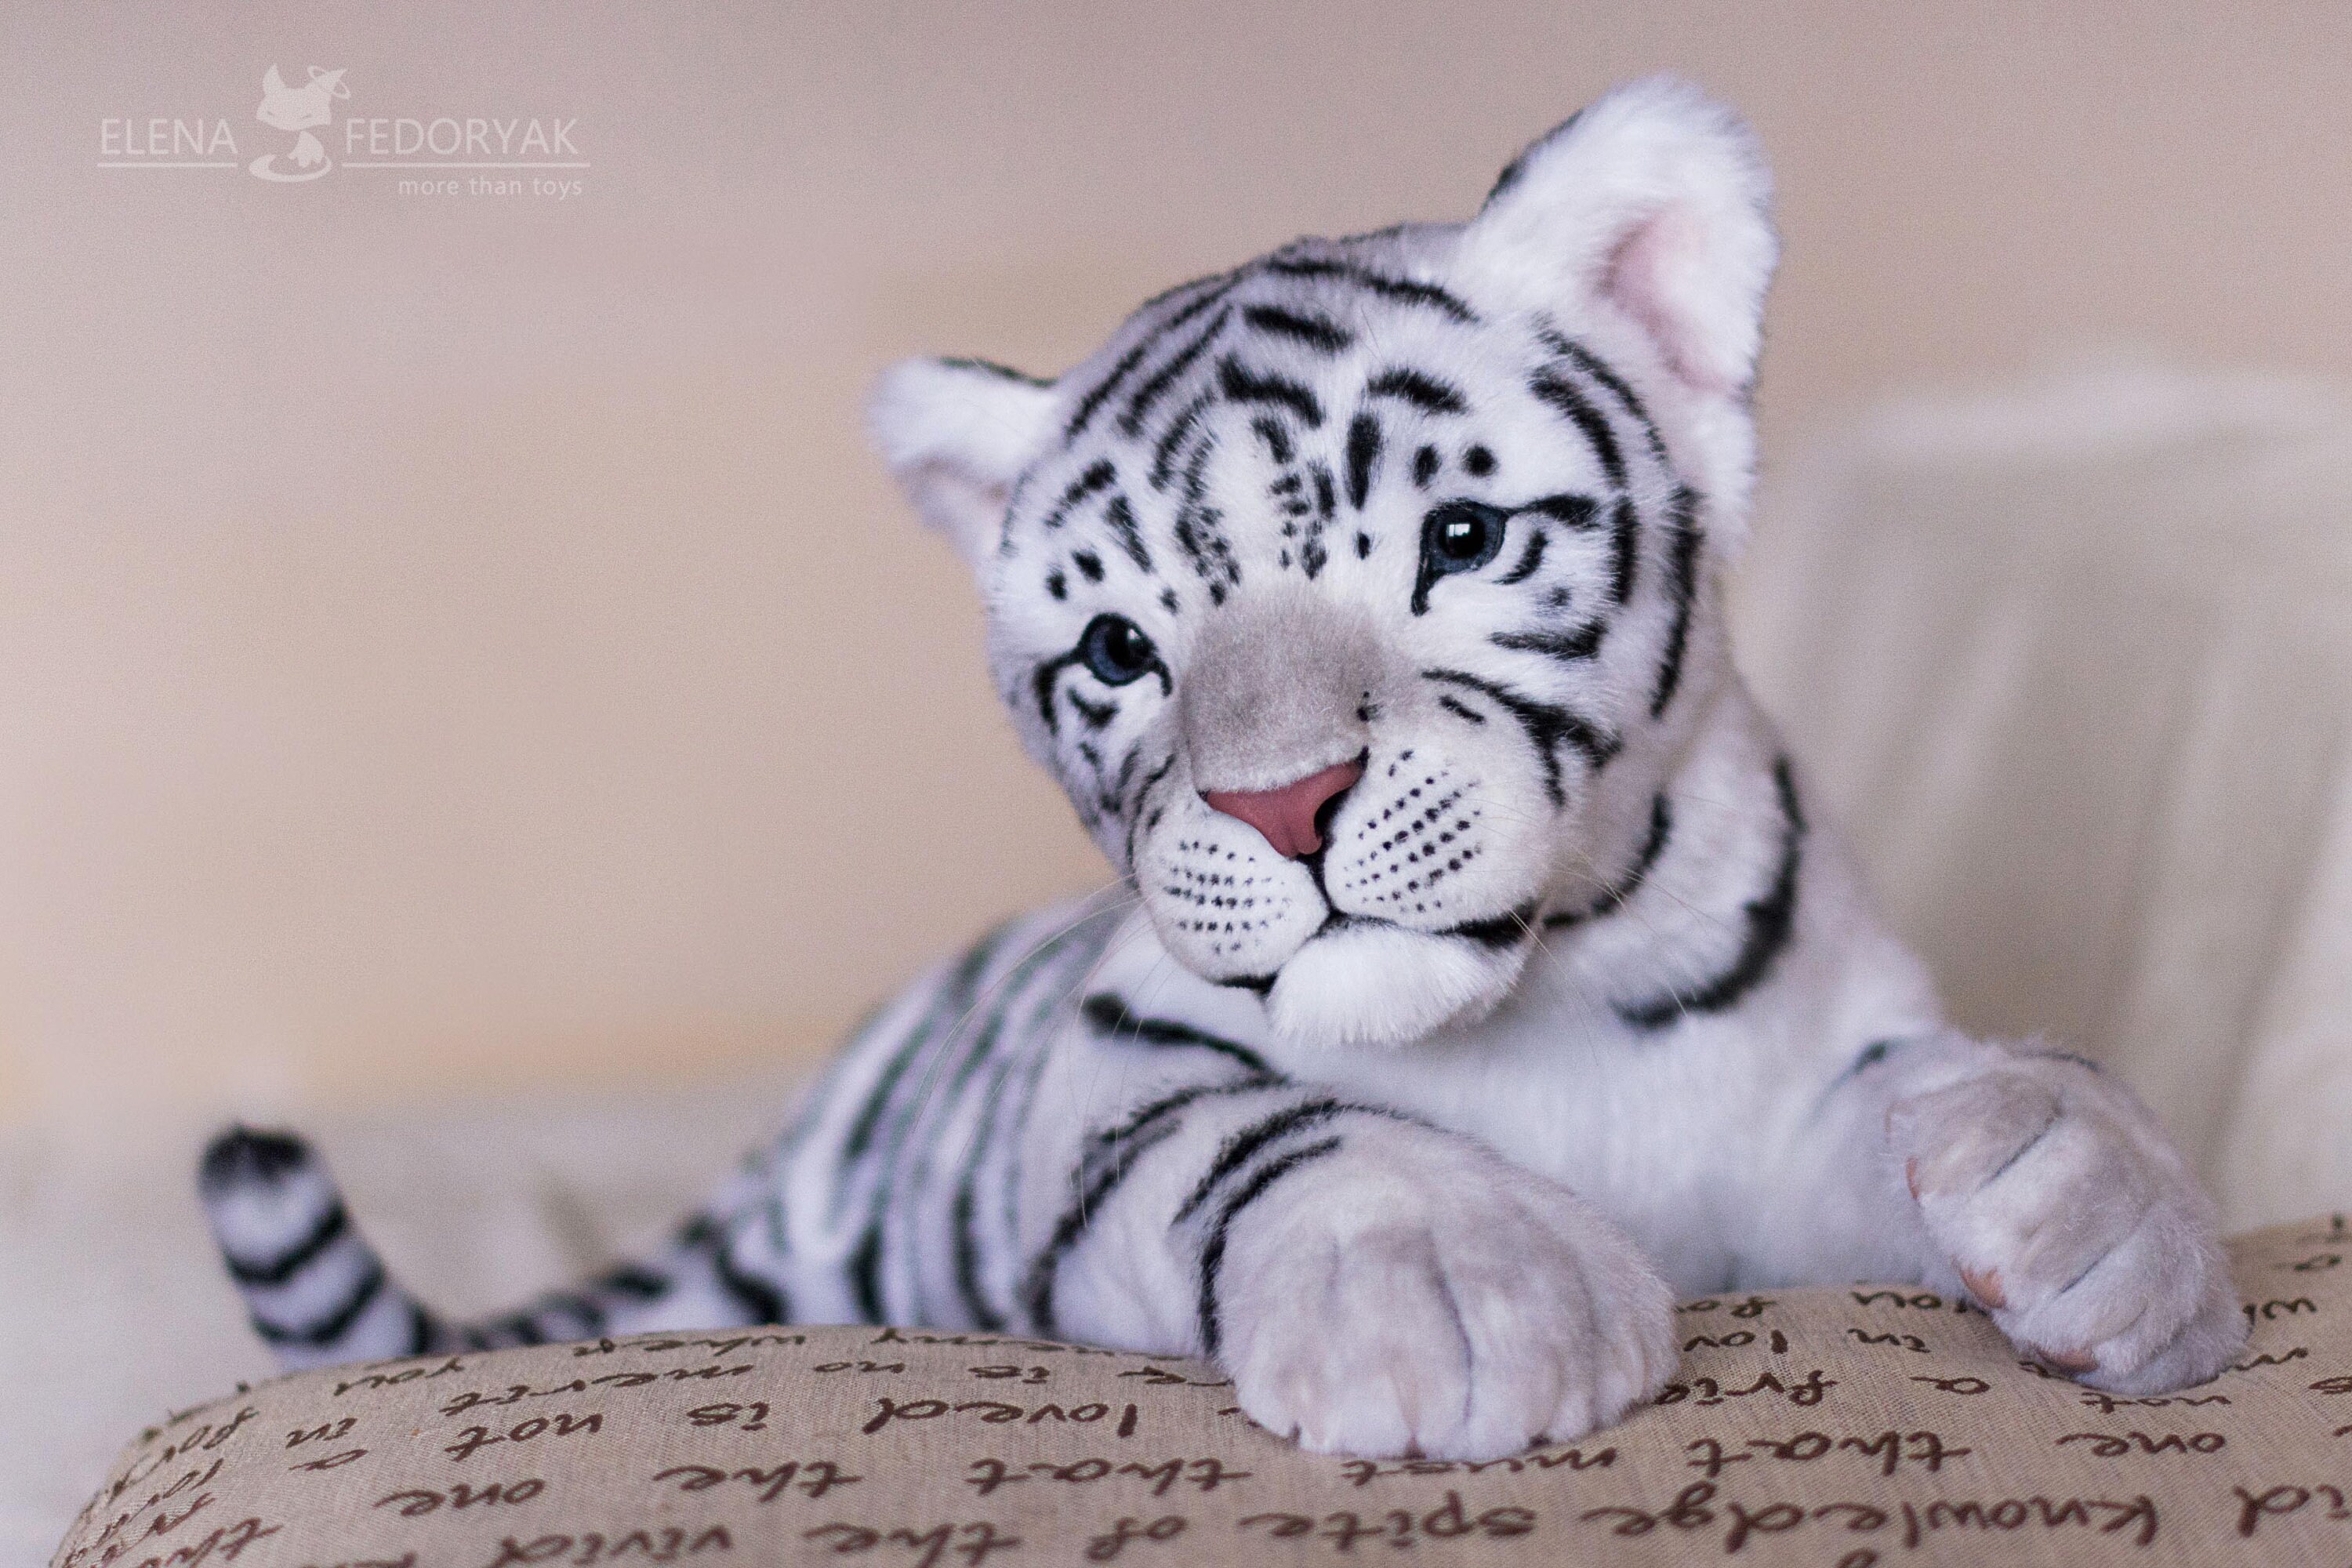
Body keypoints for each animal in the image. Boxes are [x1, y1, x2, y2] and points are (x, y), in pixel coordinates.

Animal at [199, 77, 2244, 1461]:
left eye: (1459, 543)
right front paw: (1460, 1290)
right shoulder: (1097, 1102)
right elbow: (1286, 1132)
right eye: (1120, 651)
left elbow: (1989, 1086)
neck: (1541, 1006)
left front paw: (2094, 1217)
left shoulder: (1800, 1066)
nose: (1280, 806)